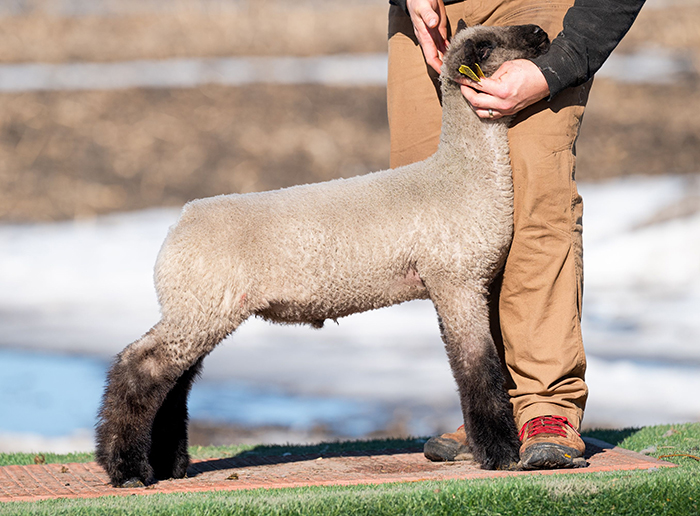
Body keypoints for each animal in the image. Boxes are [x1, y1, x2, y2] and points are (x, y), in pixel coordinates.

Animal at [95, 22, 552, 487]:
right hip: (201, 306)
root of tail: (180, 223)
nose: (539, 31)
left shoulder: (460, 285)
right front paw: (501, 454)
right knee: (140, 367)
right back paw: (127, 469)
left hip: (199, 306)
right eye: (487, 45)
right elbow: (478, 368)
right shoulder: (456, 280)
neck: (462, 175)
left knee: (174, 381)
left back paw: (169, 466)